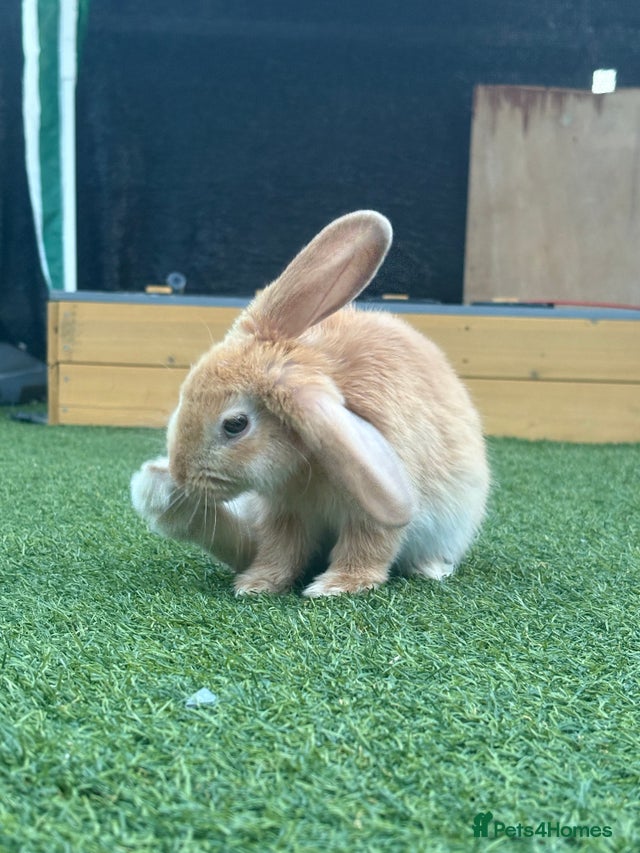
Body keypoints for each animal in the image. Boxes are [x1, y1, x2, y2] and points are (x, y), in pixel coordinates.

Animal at [130, 210, 490, 597]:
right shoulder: (284, 511)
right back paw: (159, 494)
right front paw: (257, 584)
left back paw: (431, 569)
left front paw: (335, 586)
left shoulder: (372, 510)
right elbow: (280, 549)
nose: (181, 473)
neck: (307, 458)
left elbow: (367, 546)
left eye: (235, 425)